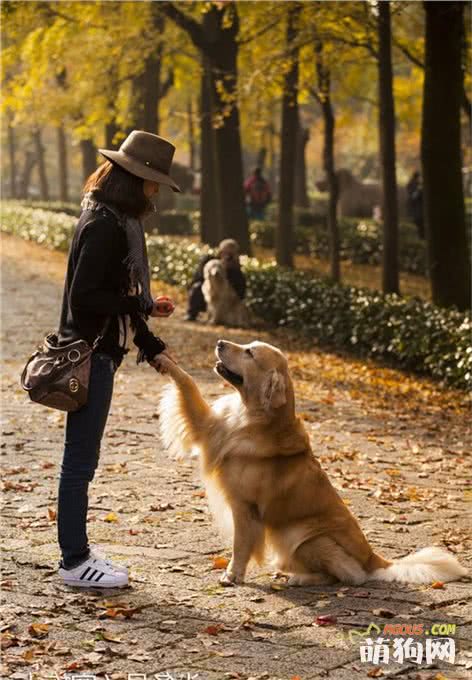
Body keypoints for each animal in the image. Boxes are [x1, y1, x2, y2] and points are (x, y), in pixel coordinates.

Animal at [158, 342, 464, 588]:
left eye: (249, 352)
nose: (220, 342)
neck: (252, 416)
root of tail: (374, 558)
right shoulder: (209, 427)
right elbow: (188, 383)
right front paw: (164, 358)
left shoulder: (245, 507)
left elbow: (240, 545)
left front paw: (233, 575)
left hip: (306, 537)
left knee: (346, 577)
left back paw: (300, 579)